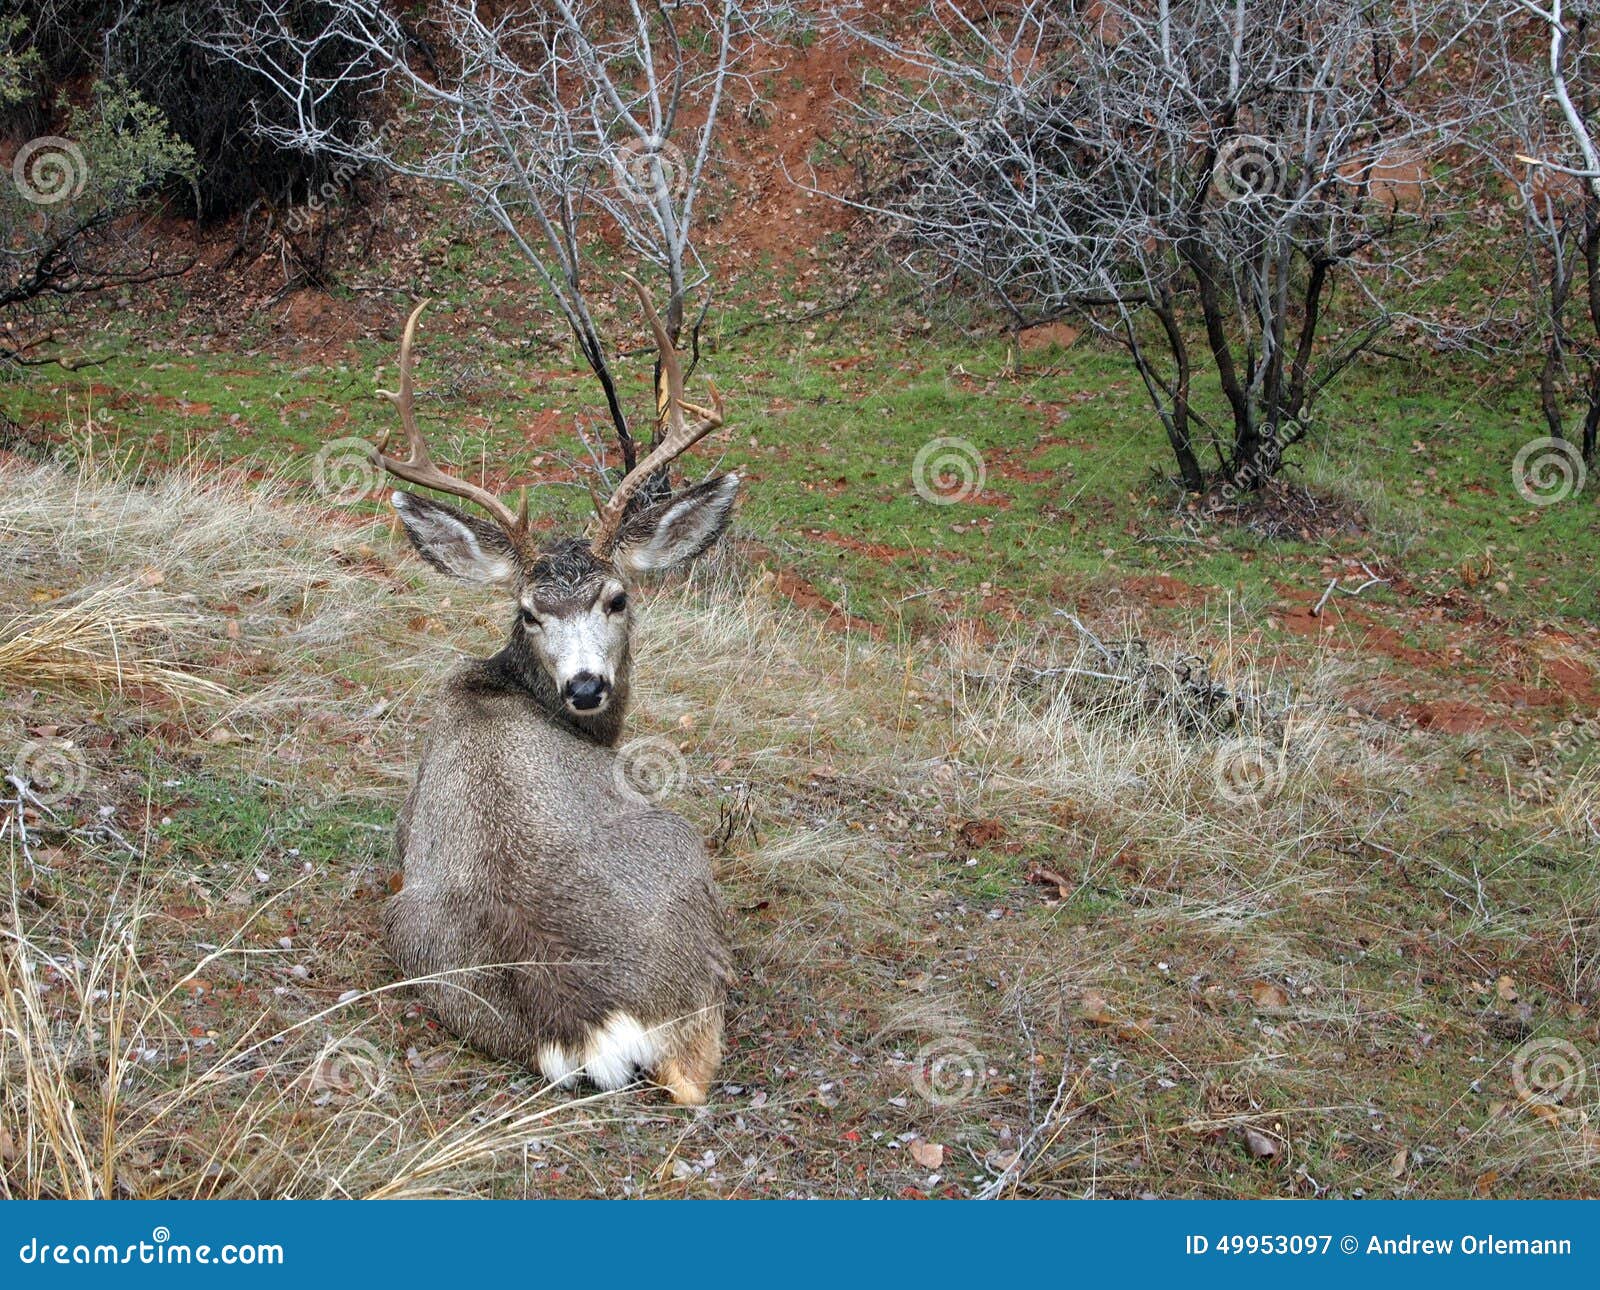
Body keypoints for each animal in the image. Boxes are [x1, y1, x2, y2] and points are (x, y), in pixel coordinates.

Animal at [372, 277, 738, 1105]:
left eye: (616, 597)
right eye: (531, 612)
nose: (585, 686)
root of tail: (588, 1019)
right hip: (682, 856)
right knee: (693, 1075)